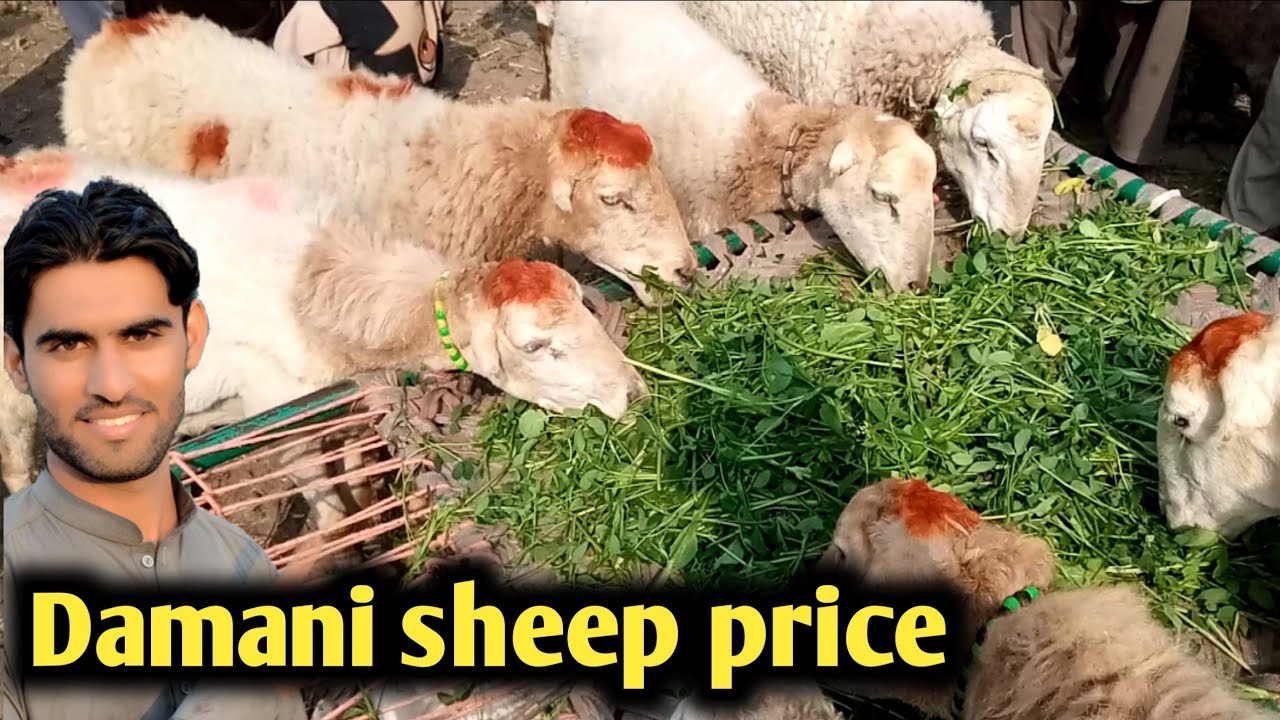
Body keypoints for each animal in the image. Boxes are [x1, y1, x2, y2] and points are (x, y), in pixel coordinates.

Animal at [0, 147, 649, 495]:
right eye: (537, 346)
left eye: (584, 305)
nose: (635, 392)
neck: (317, 279)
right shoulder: (276, 405)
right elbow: (316, 481)